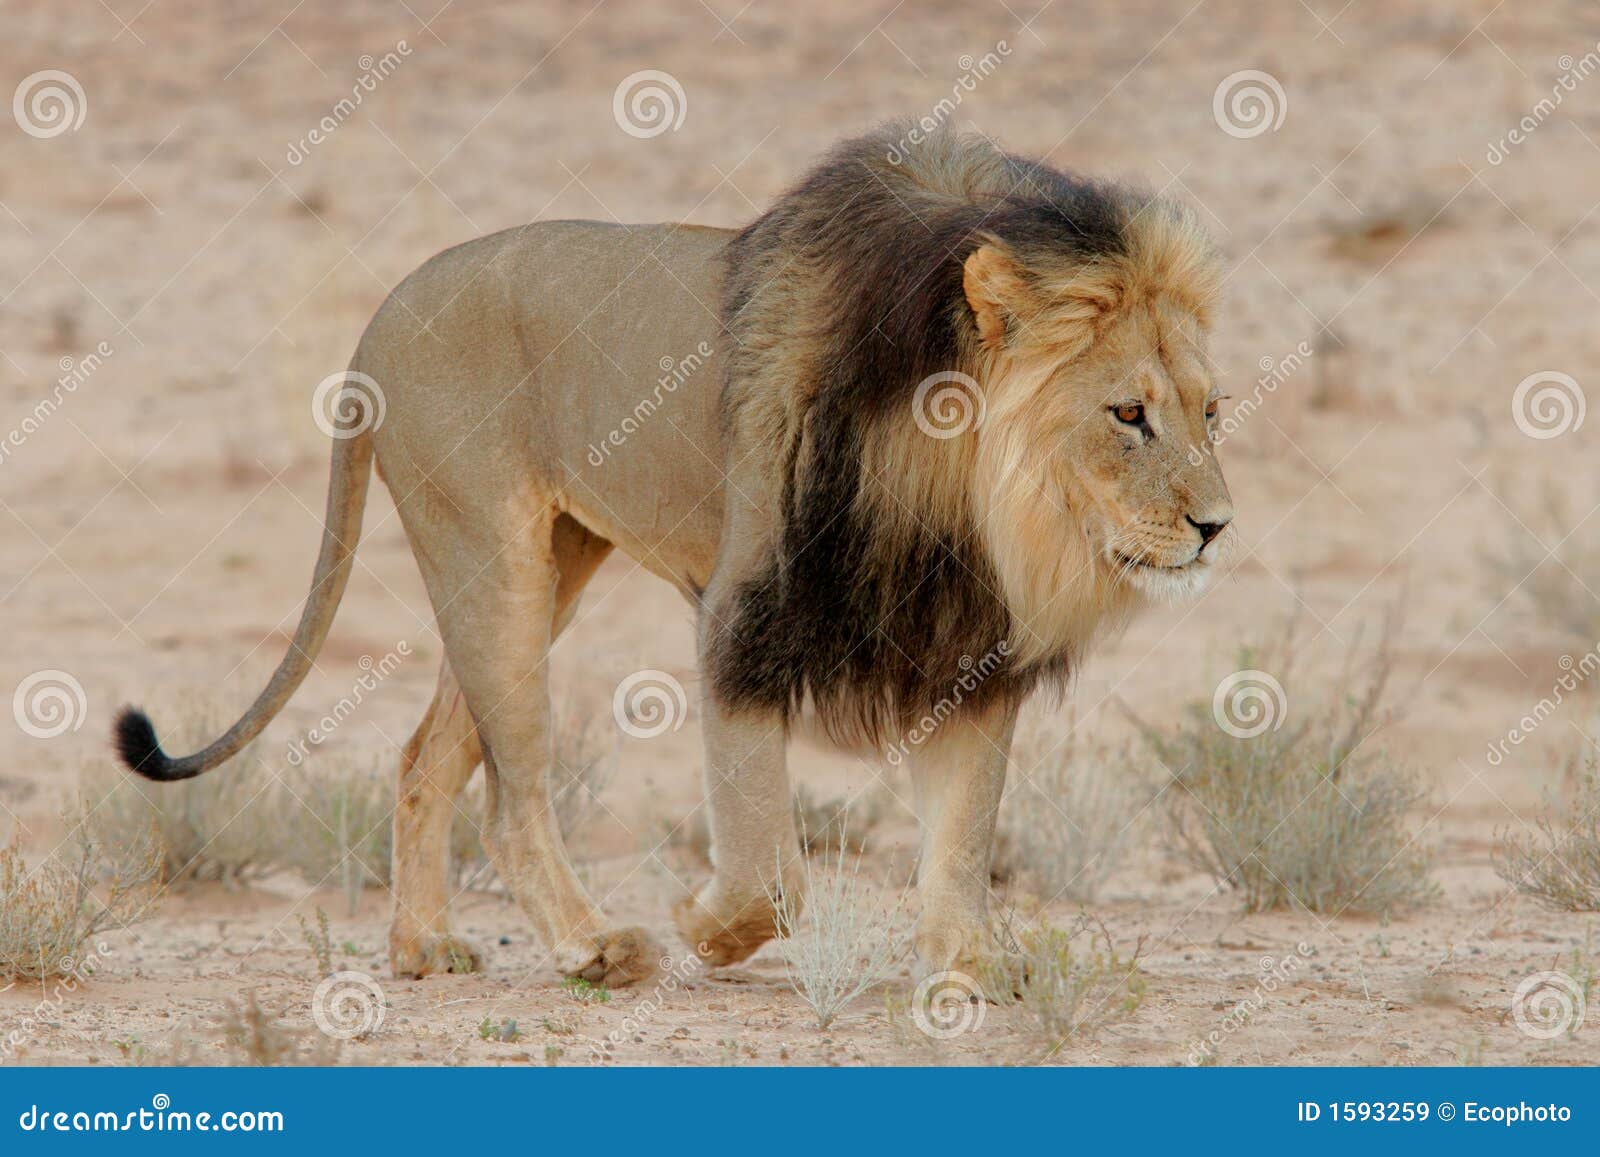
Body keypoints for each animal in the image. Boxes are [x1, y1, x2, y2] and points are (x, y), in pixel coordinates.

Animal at [114, 124, 1233, 988]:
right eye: (1127, 415)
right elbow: (769, 863)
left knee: (424, 755)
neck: (963, 505)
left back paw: (423, 946)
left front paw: (971, 962)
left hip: (554, 565)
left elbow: (962, 833)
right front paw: (708, 926)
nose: (1218, 525)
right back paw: (594, 946)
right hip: (491, 560)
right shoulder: (744, 618)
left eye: (1211, 411)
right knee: (511, 795)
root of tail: (383, 312)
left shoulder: (968, 645)